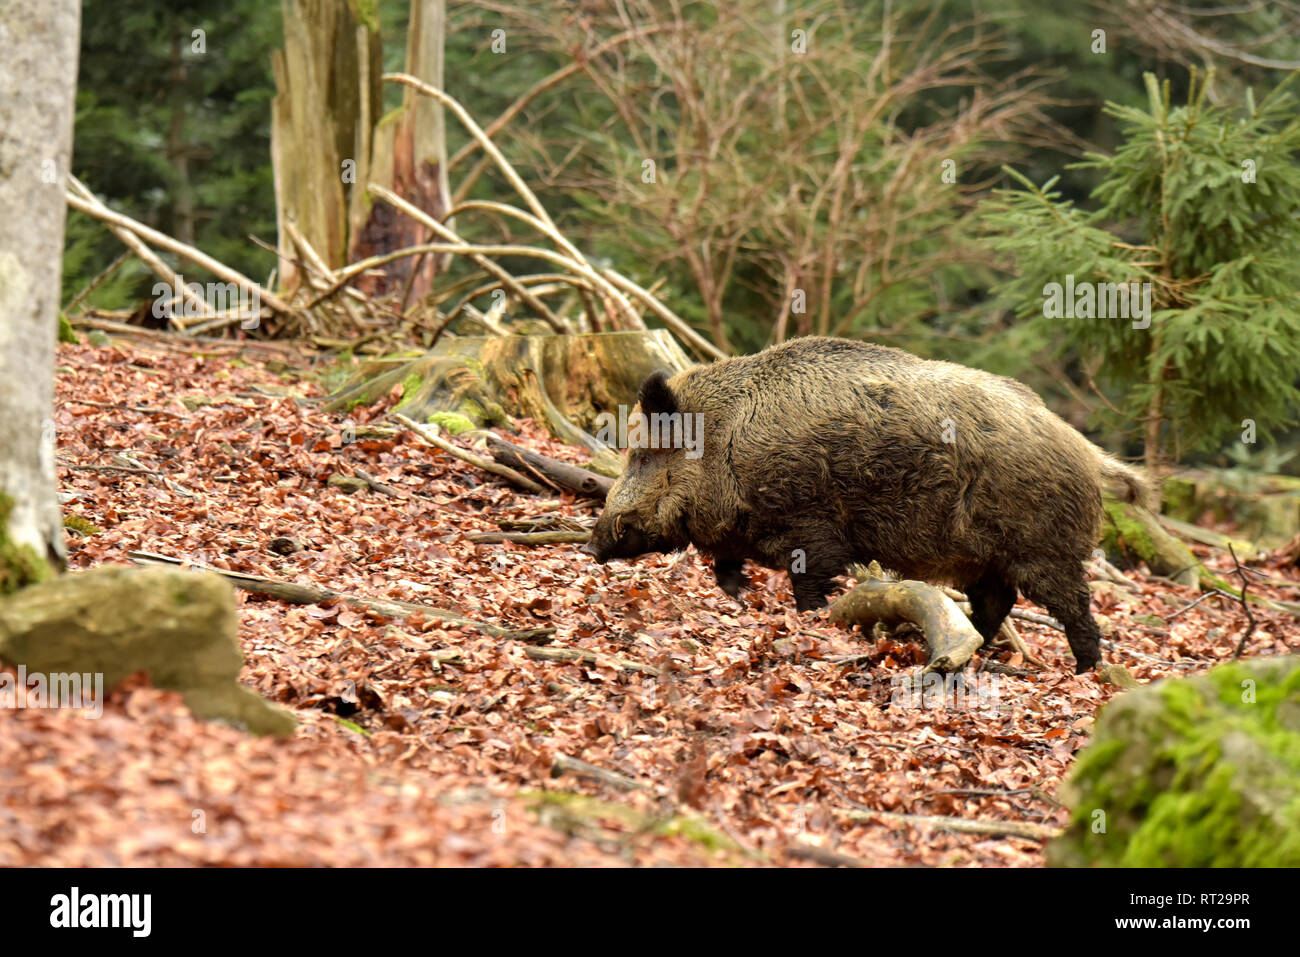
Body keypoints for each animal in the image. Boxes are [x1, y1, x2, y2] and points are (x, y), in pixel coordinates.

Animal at [583, 336, 1147, 673]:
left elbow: (809, 583)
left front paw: (815, 619)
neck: (725, 442)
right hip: (987, 558)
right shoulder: (738, 532)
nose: (593, 545)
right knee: (995, 603)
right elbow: (725, 569)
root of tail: (1089, 453)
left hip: (1046, 551)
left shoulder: (810, 525)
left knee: (1075, 610)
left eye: (643, 456)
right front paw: (740, 601)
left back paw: (1086, 671)